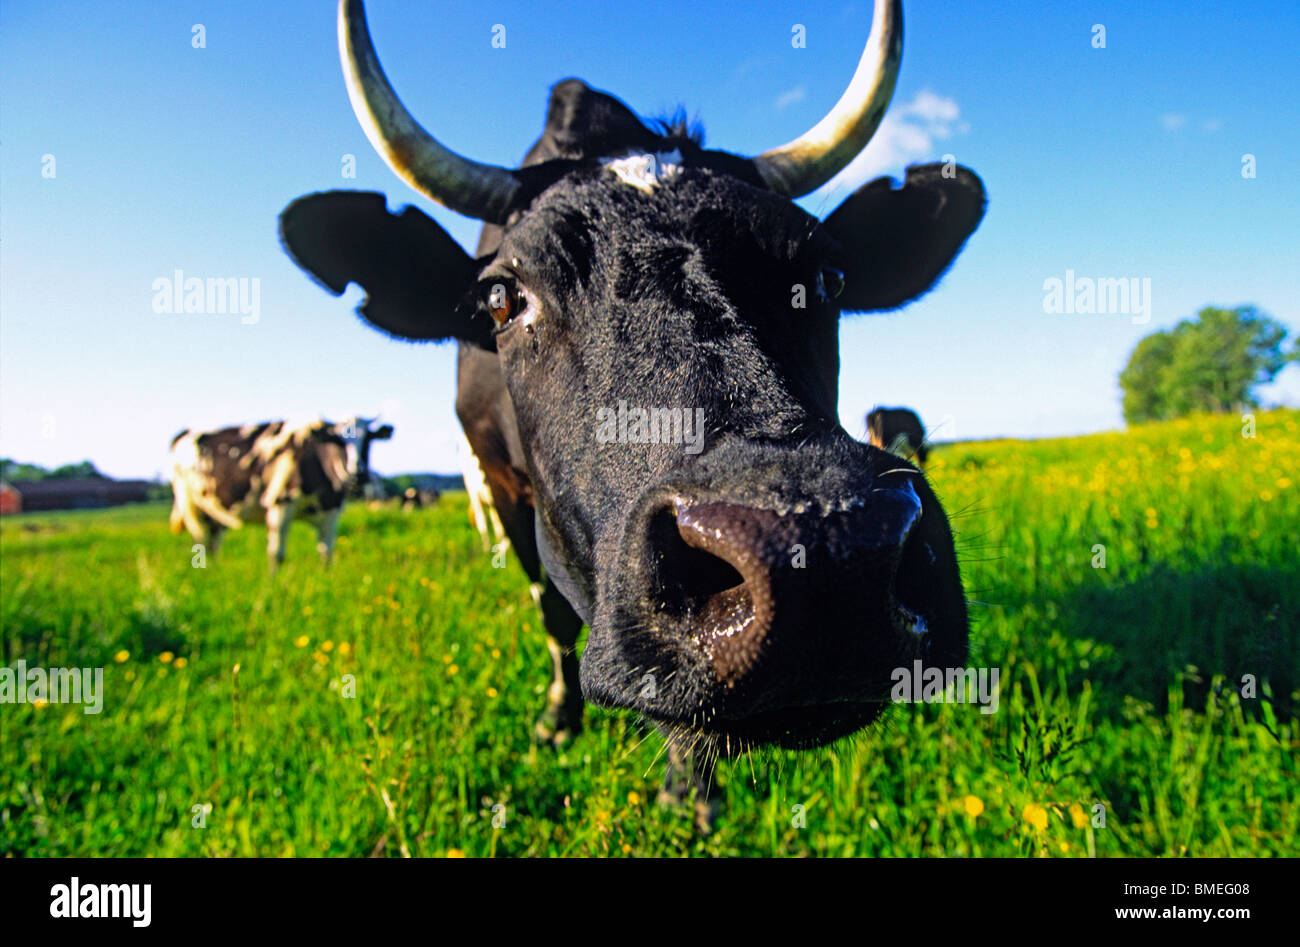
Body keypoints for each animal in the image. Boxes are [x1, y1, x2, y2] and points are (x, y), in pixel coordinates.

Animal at [169, 417, 393, 568]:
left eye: (368, 440)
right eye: (338, 441)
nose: (357, 476)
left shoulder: (331, 512)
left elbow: (327, 554)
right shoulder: (279, 504)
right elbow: (276, 555)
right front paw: (272, 589)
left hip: (214, 511)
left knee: (213, 544)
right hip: (190, 505)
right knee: (201, 542)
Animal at [279, 0, 984, 822]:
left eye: (829, 274)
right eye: (501, 298)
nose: (820, 549)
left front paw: (690, 786)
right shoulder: (498, 482)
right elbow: (550, 611)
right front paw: (558, 721)